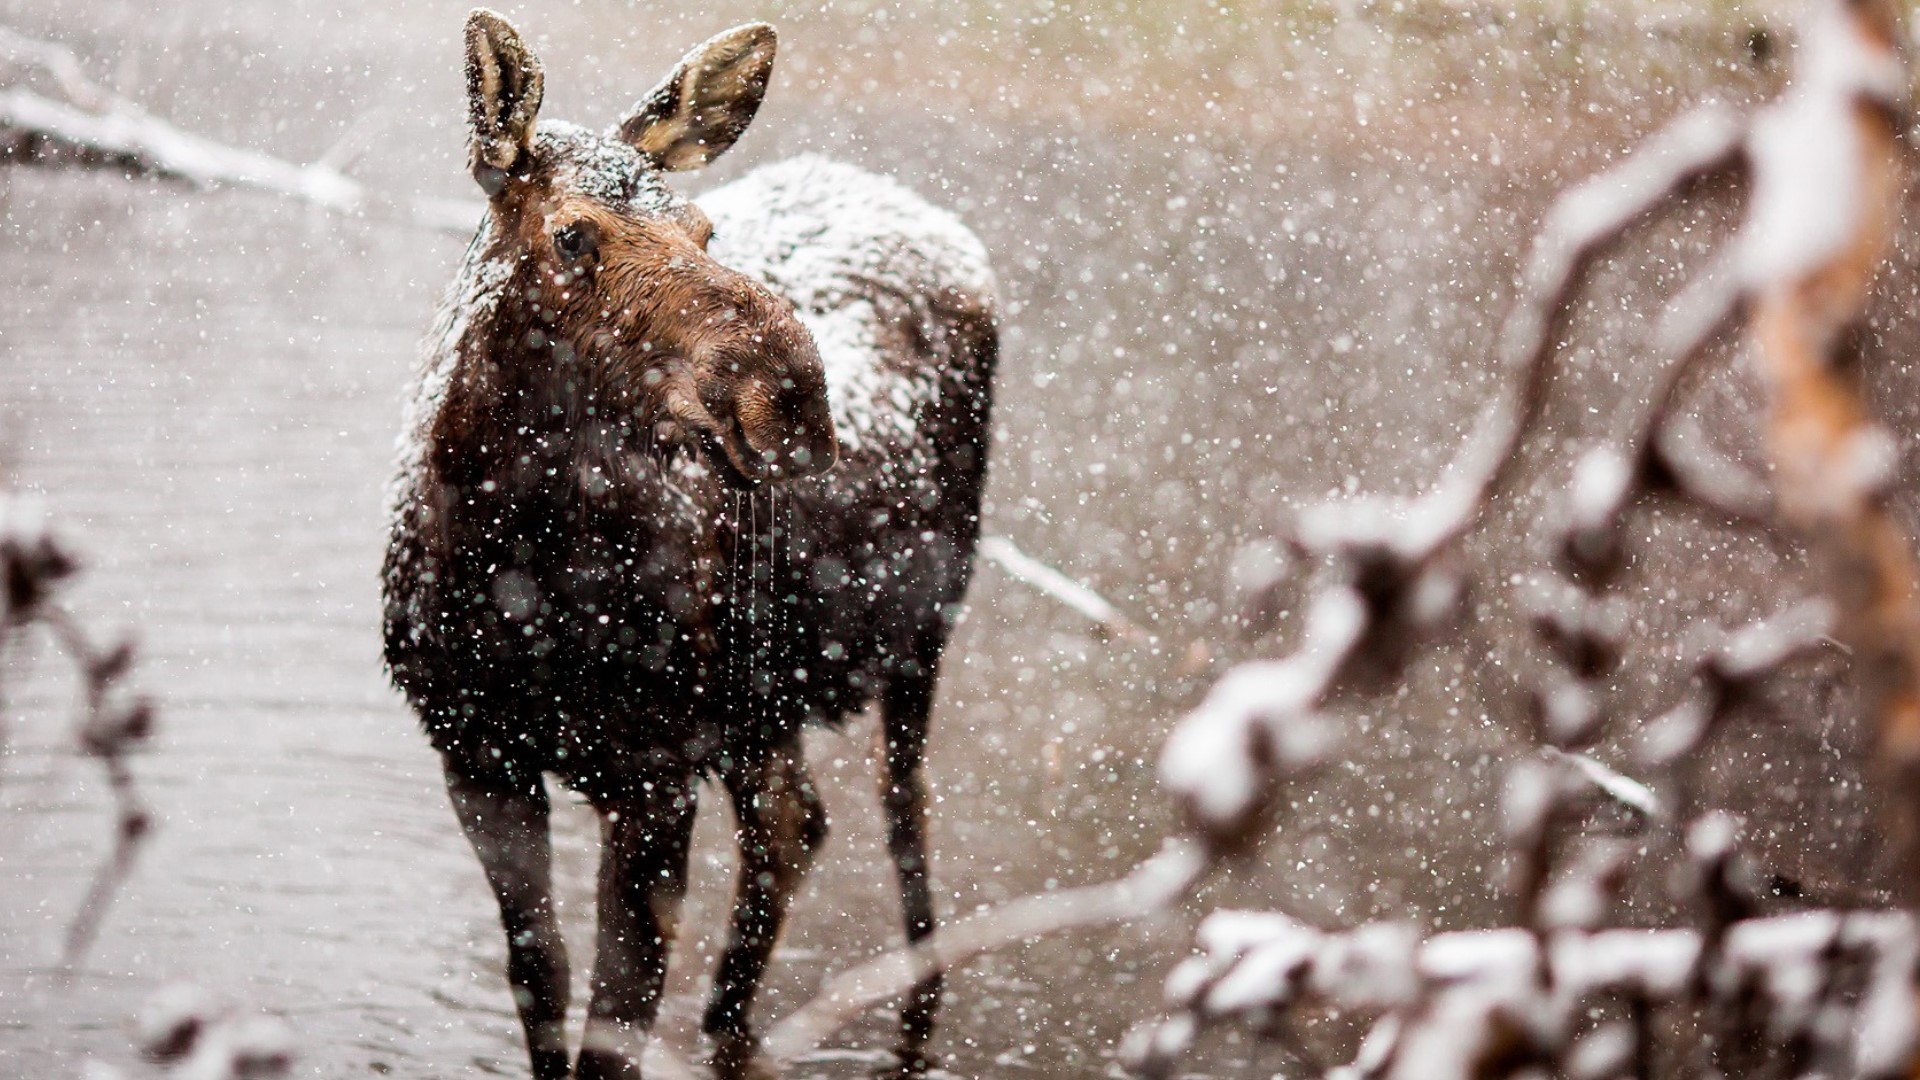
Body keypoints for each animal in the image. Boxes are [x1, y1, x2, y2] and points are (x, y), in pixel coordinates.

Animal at [380, 10, 997, 1080]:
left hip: (922, 623)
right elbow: (540, 986)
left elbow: (613, 1027)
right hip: (764, 690)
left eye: (705, 229)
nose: (792, 393)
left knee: (900, 819)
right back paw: (733, 1019)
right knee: (795, 821)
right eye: (571, 234)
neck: (522, 579)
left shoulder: (655, 773)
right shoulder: (477, 753)